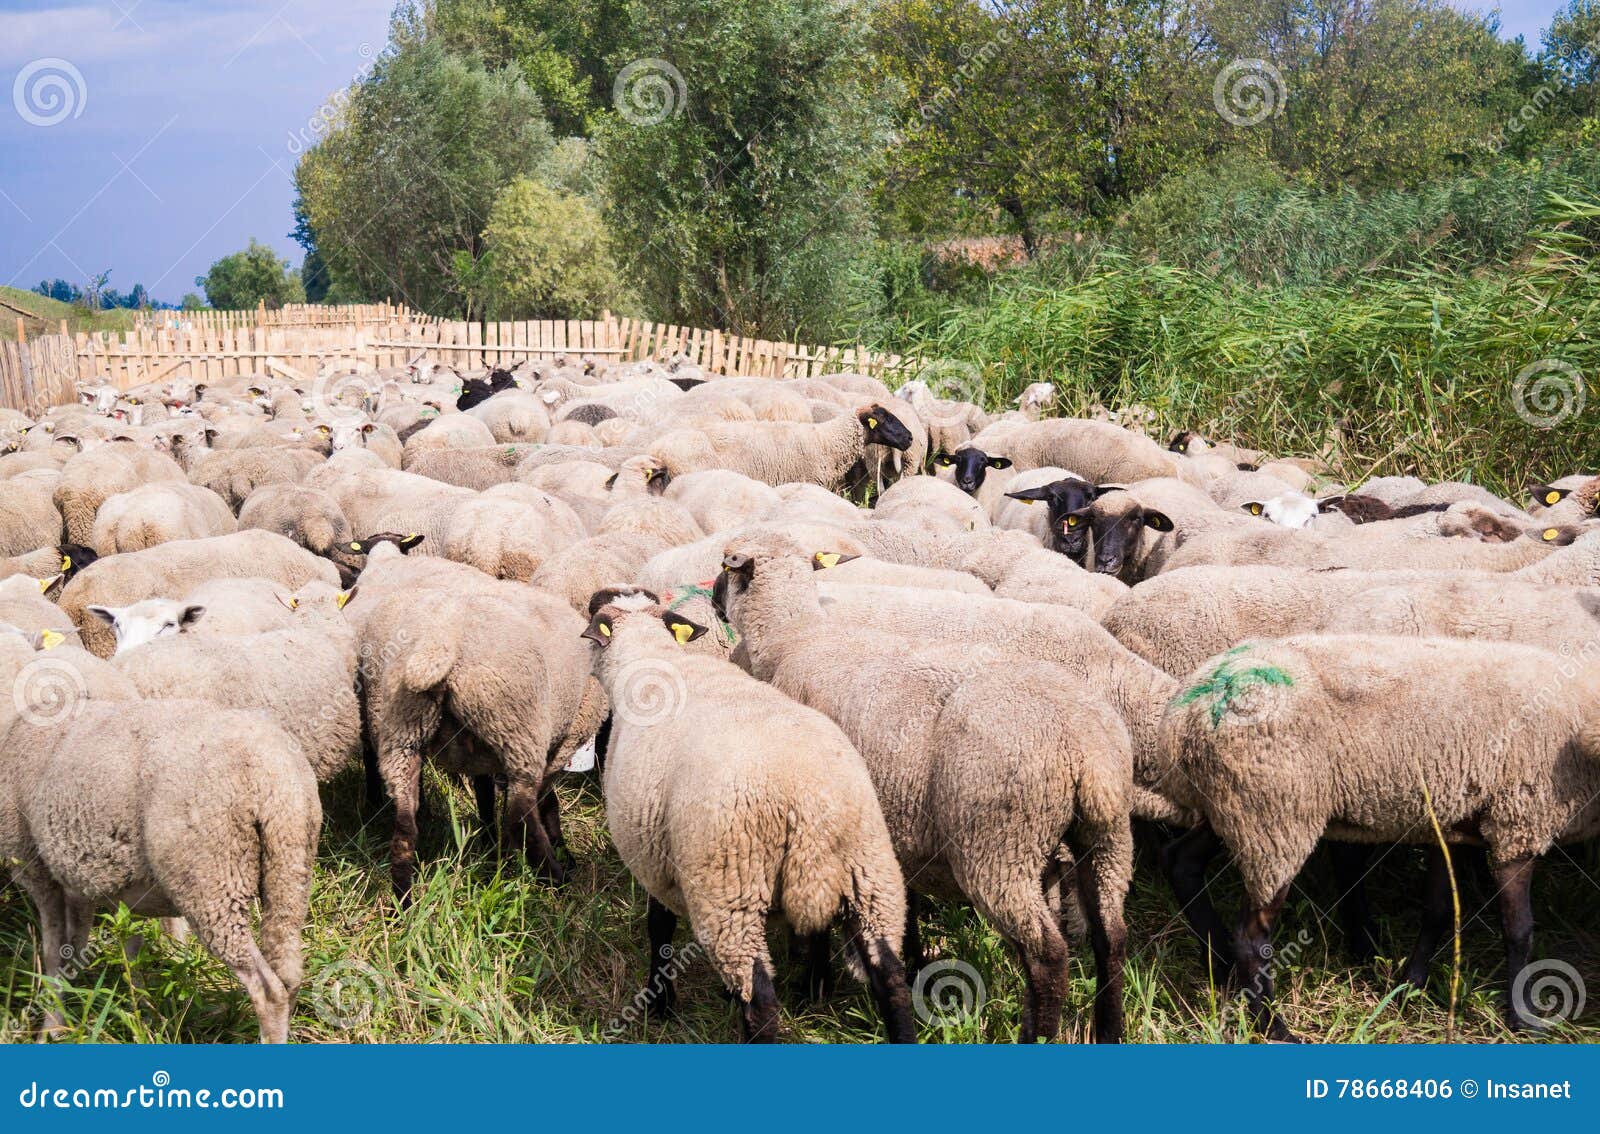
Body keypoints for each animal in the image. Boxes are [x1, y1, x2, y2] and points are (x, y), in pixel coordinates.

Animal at [0, 691, 319, 1042]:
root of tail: (271, 773)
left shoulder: (38, 870)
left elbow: (54, 955)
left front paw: (51, 1027)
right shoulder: (86, 885)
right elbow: (110, 948)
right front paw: (139, 1013)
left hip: (213, 878)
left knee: (267, 989)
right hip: (289, 867)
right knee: (289, 974)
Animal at [583, 597, 915, 1042]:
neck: (655, 658)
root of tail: (808, 802)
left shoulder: (652, 856)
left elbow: (659, 928)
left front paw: (660, 1003)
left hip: (729, 889)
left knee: (760, 1003)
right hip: (870, 873)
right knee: (891, 980)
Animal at [715, 544, 1133, 1041]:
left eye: (723, 567)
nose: (712, 597)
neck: (794, 635)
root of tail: (1084, 744)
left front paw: (813, 986)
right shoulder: (897, 829)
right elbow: (908, 903)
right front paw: (913, 964)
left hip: (1000, 848)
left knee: (1045, 957)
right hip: (1106, 836)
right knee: (1111, 936)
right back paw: (1109, 1029)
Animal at [1155, 634, 1600, 1036]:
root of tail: (1185, 715)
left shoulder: (1450, 823)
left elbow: (1437, 910)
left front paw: (1410, 987)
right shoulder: (1519, 822)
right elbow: (1519, 930)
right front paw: (1523, 1019)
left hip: (1234, 807)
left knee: (1181, 862)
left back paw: (1221, 963)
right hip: (1275, 815)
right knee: (1251, 937)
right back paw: (1274, 1026)